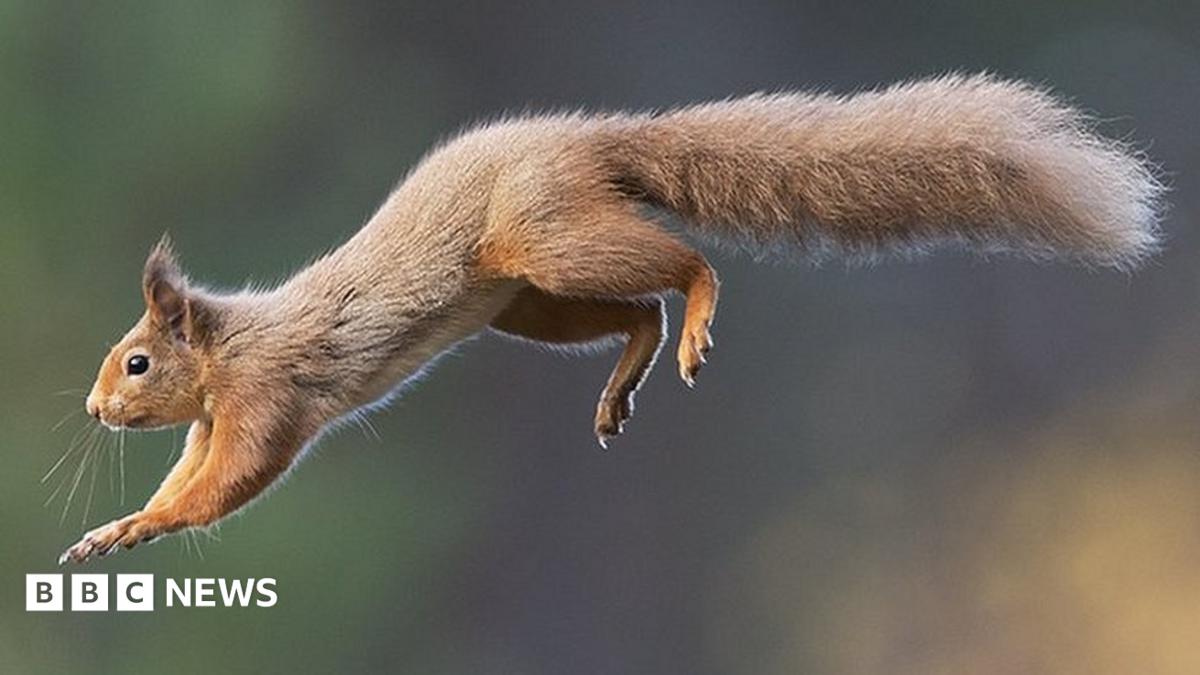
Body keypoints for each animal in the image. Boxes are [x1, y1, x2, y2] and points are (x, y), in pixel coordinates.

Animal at [61, 73, 1162, 563]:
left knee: (683, 266)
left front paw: (135, 526)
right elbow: (192, 475)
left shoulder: (266, 399)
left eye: (136, 363)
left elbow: (230, 483)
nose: (92, 410)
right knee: (636, 310)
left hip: (543, 246)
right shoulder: (215, 417)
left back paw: (699, 315)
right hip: (530, 302)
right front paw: (121, 523)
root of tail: (589, 142)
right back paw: (623, 381)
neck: (230, 344)